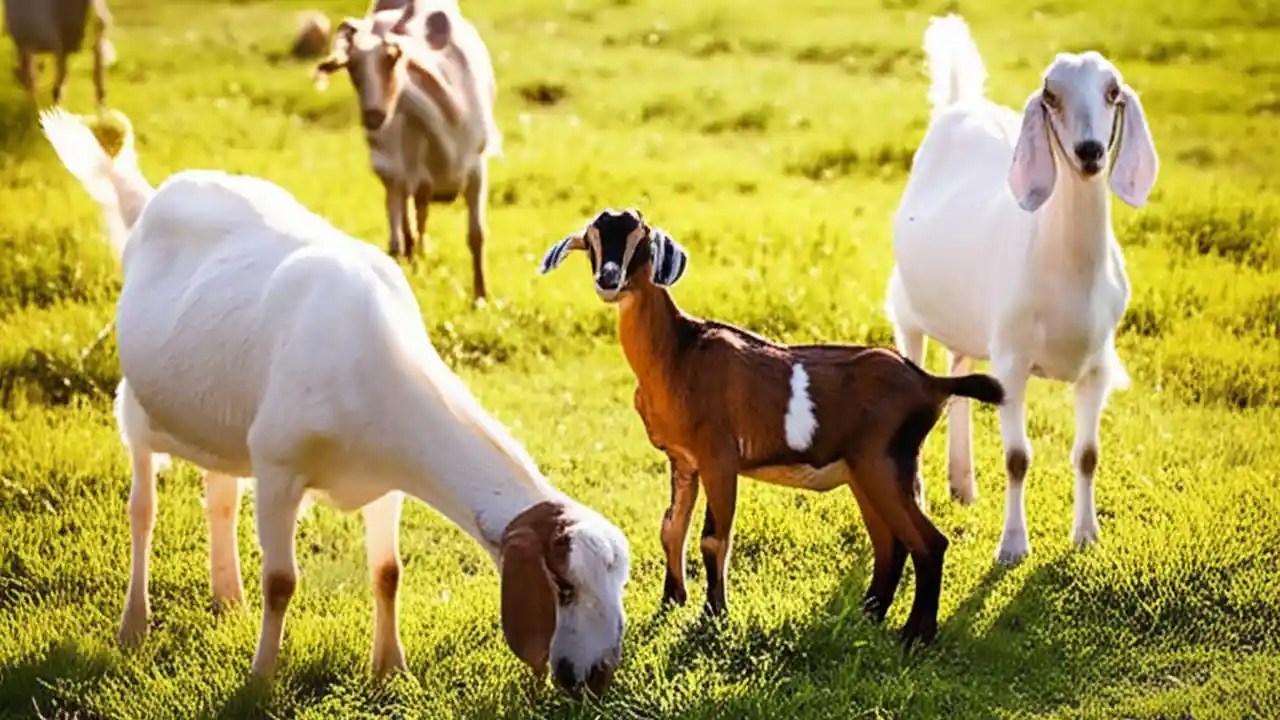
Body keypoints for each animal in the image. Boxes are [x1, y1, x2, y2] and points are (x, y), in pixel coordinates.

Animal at [39, 108, 628, 695]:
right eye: (564, 587)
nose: (597, 674)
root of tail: (152, 199)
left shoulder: (386, 482)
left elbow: (388, 573)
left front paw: (391, 669)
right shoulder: (278, 468)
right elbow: (280, 581)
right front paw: (261, 679)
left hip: (219, 420)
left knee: (220, 495)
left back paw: (228, 600)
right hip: (136, 409)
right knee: (143, 509)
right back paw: (134, 625)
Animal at [313, 0, 498, 301]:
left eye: (392, 57)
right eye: (352, 66)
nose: (374, 117)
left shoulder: (476, 165)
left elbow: (476, 234)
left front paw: (481, 298)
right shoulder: (395, 171)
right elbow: (398, 239)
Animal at [539, 209, 1005, 645]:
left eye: (643, 242)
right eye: (593, 240)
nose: (608, 280)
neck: (679, 353)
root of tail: (928, 382)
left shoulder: (719, 458)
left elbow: (712, 538)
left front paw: (714, 616)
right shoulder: (683, 460)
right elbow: (671, 528)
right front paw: (671, 602)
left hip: (883, 464)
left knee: (929, 542)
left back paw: (915, 637)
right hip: (867, 472)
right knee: (890, 543)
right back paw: (868, 615)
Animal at [886, 15, 1158, 564]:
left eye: (1113, 92)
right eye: (1051, 95)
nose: (1090, 152)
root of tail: (960, 102)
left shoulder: (1098, 364)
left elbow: (1088, 454)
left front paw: (1086, 536)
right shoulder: (1011, 361)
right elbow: (1017, 458)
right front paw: (1012, 546)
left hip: (970, 322)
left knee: (958, 368)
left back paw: (963, 485)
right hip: (907, 308)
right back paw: (922, 494)